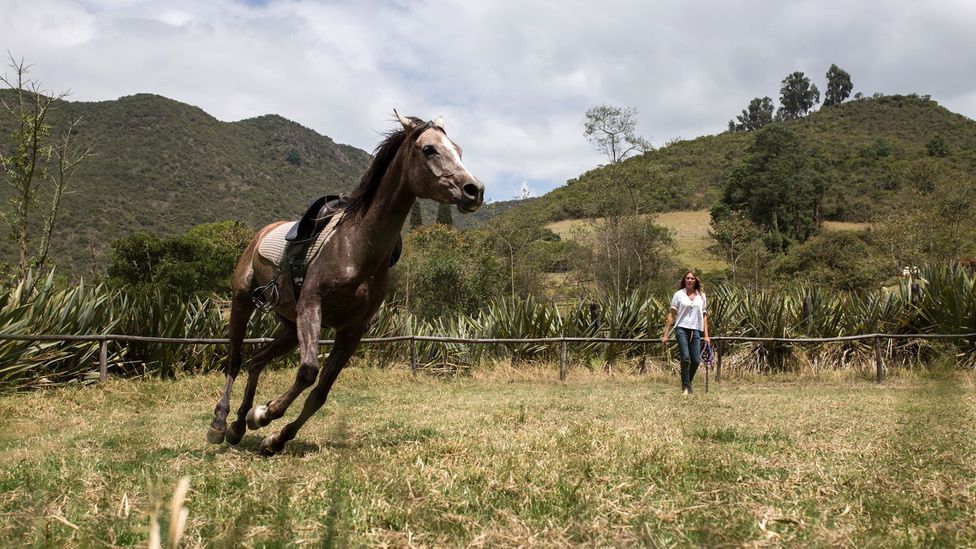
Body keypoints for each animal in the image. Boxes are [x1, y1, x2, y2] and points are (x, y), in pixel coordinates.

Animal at [206, 111, 484, 454]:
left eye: (458, 150)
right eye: (429, 149)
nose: (474, 190)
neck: (356, 246)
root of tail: (261, 232)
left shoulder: (353, 330)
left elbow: (319, 394)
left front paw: (273, 435)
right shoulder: (312, 305)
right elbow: (308, 372)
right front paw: (266, 414)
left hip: (289, 327)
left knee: (255, 362)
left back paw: (238, 426)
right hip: (242, 301)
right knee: (234, 360)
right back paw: (220, 423)